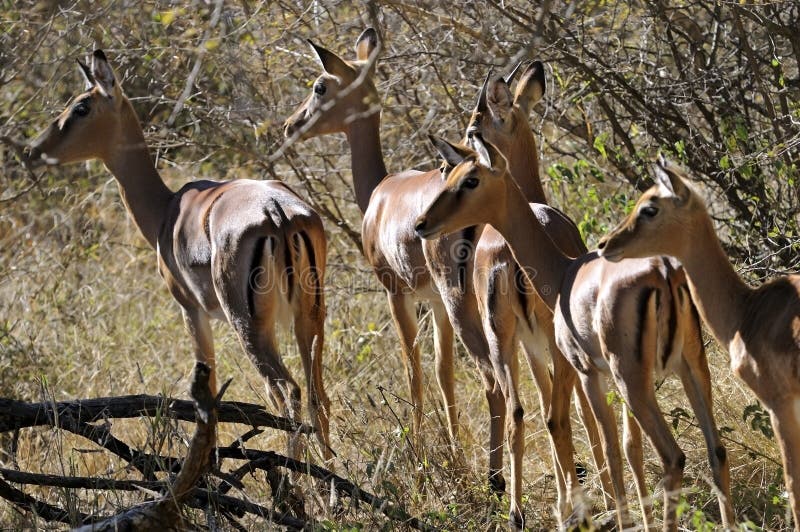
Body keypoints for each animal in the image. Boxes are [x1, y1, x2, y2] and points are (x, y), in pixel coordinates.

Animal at [25, 50, 332, 467]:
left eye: (81, 106)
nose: (33, 151)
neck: (167, 210)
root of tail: (278, 213)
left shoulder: (191, 310)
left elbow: (210, 394)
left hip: (250, 325)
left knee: (288, 391)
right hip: (309, 317)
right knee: (317, 394)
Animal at [283, 29, 598, 527]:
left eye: (320, 86)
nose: (290, 125)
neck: (380, 196)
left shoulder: (401, 294)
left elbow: (416, 369)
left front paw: (427, 459)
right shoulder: (443, 306)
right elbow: (445, 370)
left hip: (467, 308)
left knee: (496, 386)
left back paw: (498, 486)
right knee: (557, 402)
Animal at [415, 137, 735, 531]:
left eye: (471, 179)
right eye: (450, 174)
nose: (422, 224)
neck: (563, 274)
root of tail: (663, 272)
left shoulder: (587, 371)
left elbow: (608, 445)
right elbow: (624, 444)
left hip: (628, 378)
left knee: (667, 454)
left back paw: (525, 512)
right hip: (691, 367)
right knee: (716, 450)